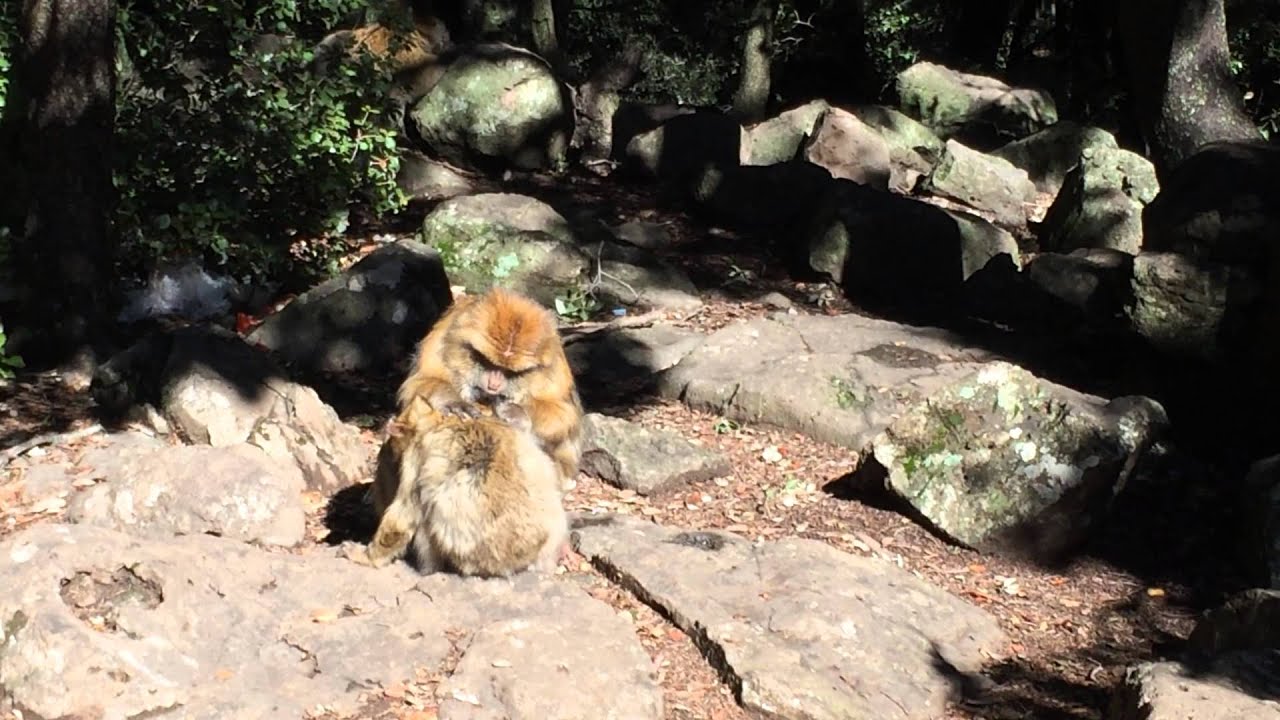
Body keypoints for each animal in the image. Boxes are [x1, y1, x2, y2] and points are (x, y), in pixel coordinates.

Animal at [397, 287, 584, 493]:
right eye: (486, 362)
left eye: (510, 372)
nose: (493, 385)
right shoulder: (444, 333)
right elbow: (421, 381)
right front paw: (453, 401)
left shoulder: (555, 364)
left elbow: (563, 416)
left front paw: (517, 413)